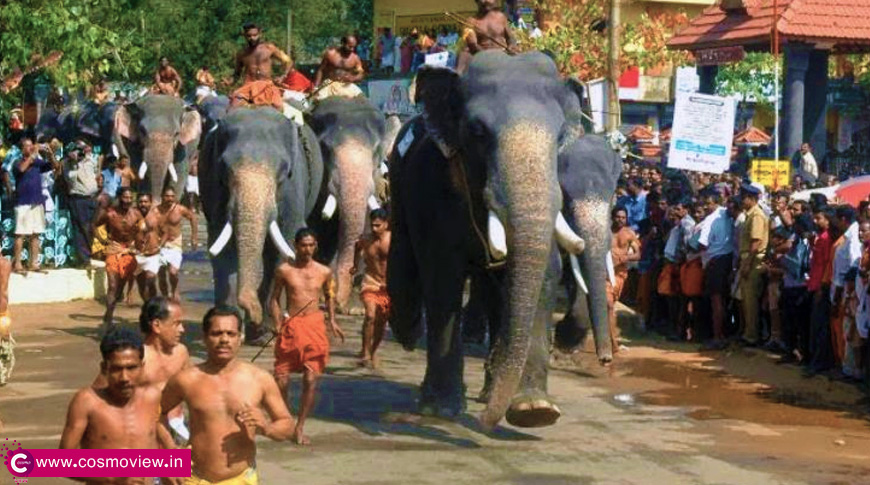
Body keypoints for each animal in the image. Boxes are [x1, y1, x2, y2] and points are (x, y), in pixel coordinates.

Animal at [199, 107, 326, 338]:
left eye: (285, 171)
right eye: (224, 168)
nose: (253, 314)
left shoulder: (294, 191)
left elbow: (285, 241)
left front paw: (263, 332)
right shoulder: (215, 189)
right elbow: (221, 245)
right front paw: (231, 324)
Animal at [388, 53, 600, 430]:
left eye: (560, 135)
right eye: (477, 132)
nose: (487, 421)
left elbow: (545, 271)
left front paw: (535, 410)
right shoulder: (431, 184)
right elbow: (442, 277)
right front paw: (442, 409)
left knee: (493, 292)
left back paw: (490, 391)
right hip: (398, 184)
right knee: (402, 254)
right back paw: (409, 336)